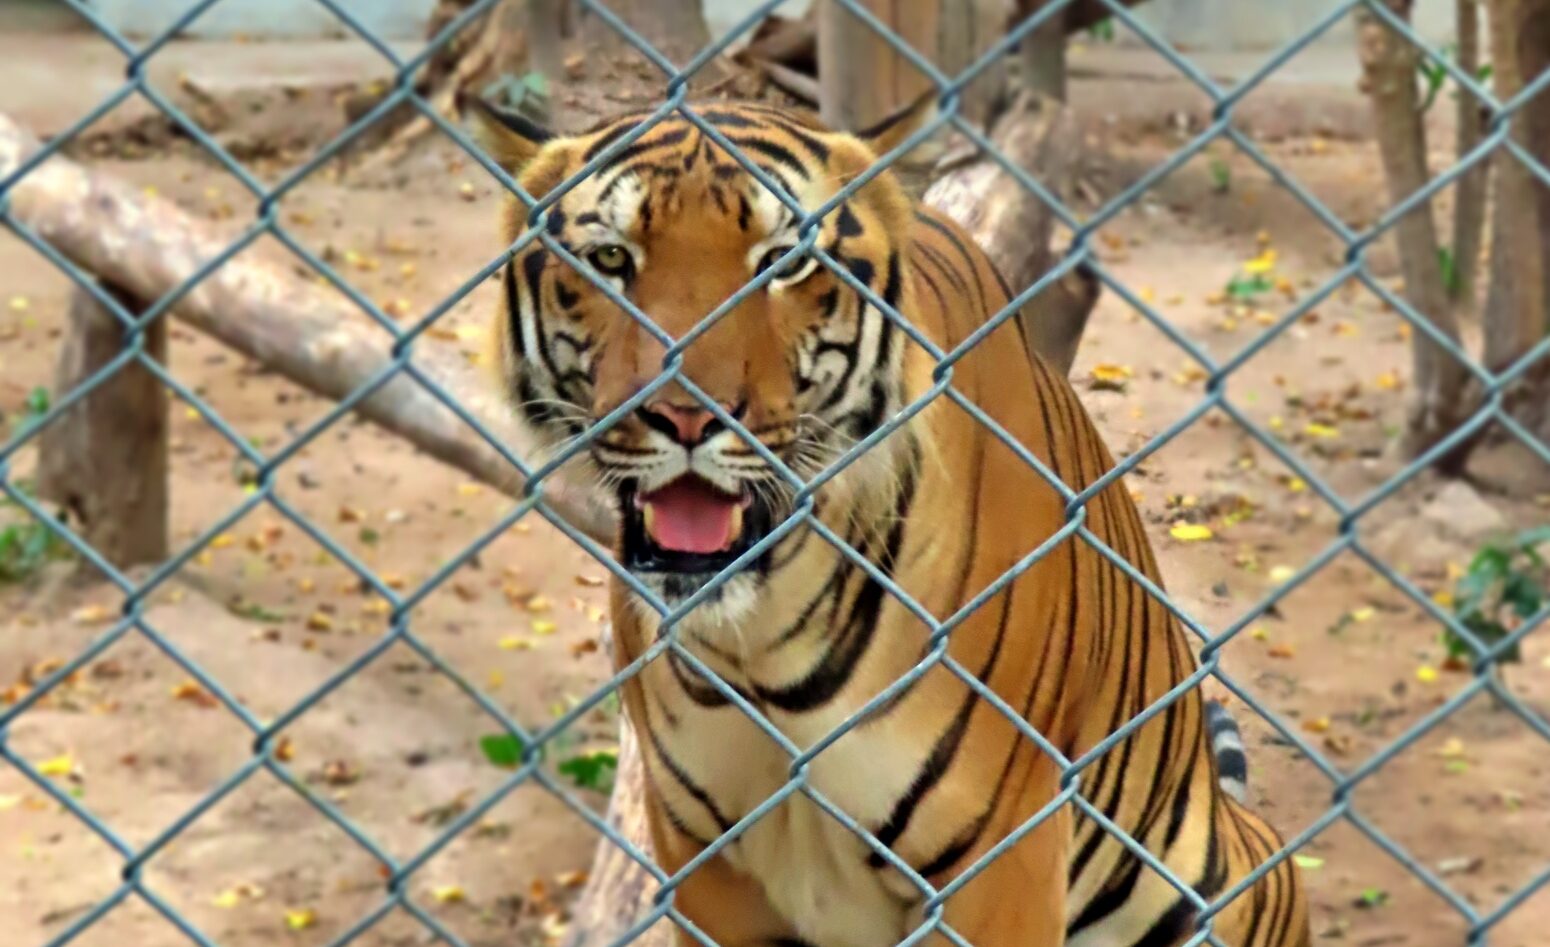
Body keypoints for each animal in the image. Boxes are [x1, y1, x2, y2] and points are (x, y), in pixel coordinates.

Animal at [468, 93, 1311, 947]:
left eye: (783, 262)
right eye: (610, 259)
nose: (685, 414)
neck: (759, 643)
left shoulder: (999, 862)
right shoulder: (702, 858)